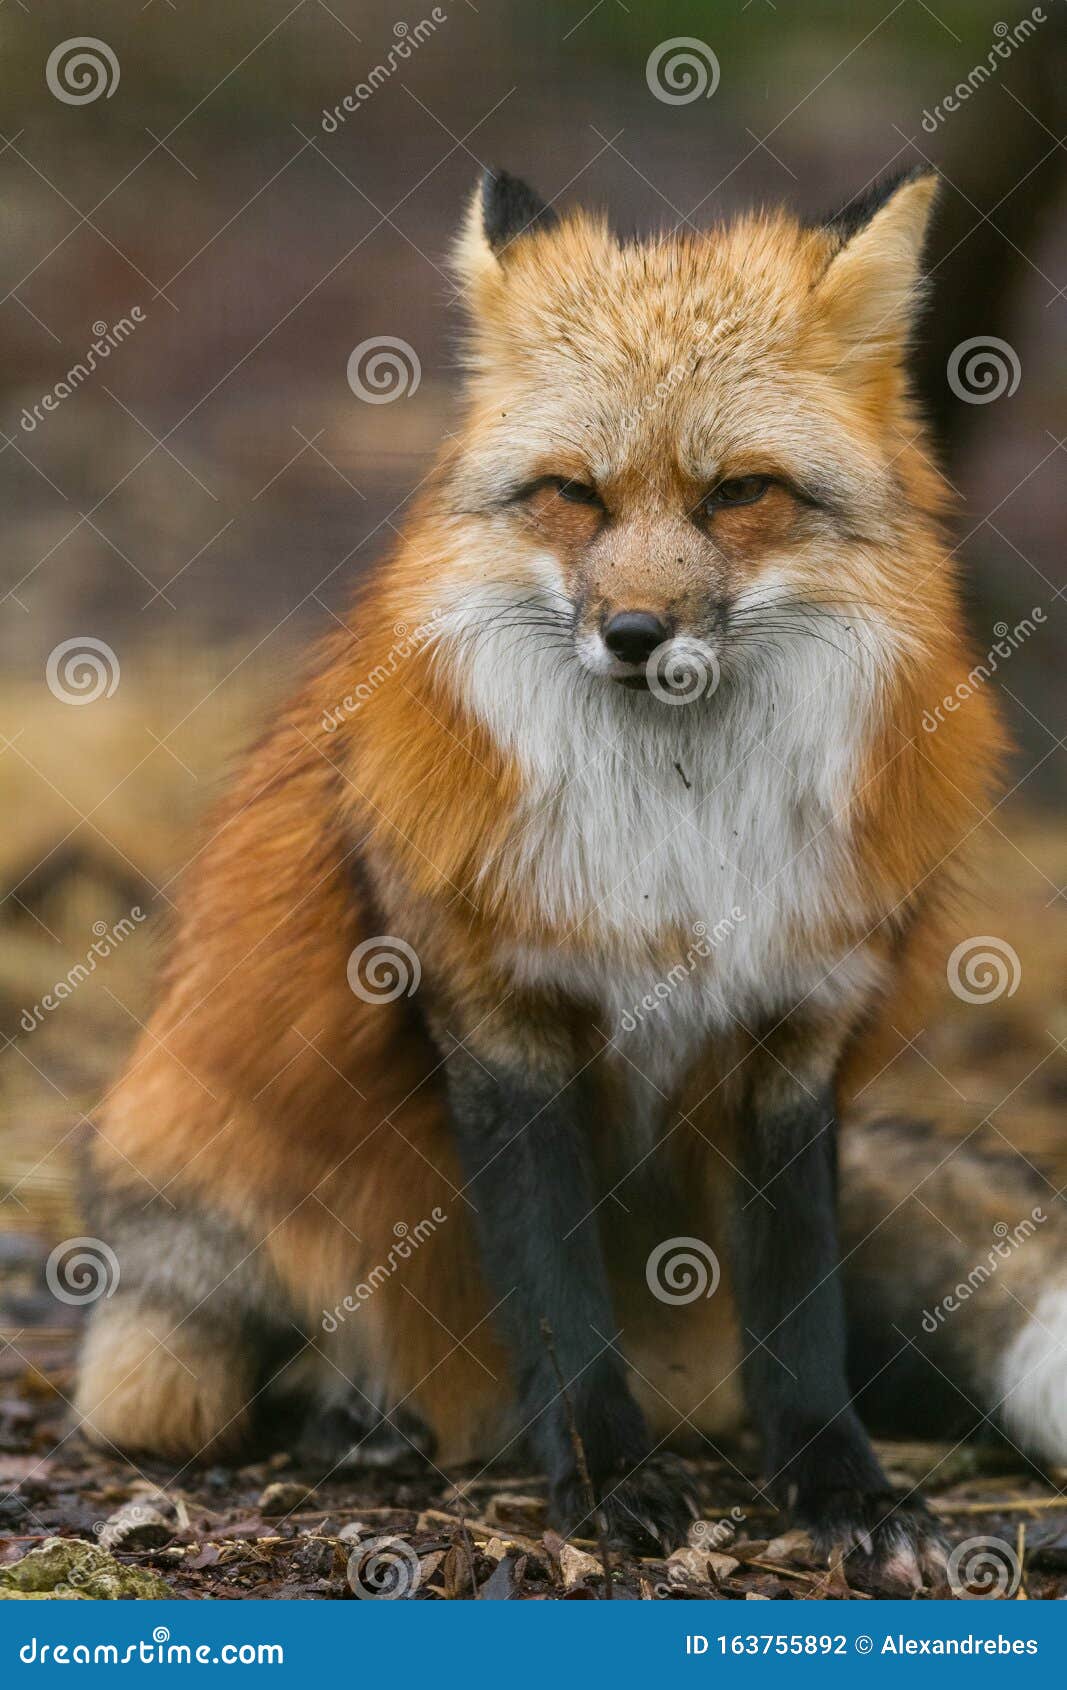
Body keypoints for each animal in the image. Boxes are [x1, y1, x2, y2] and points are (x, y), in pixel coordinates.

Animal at [75, 166, 1067, 1588]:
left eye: (737, 493)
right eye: (575, 495)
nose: (633, 634)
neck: (677, 834)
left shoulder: (792, 1034)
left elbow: (800, 1320)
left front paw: (843, 1490)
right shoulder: (502, 1024)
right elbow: (553, 1297)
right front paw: (601, 1479)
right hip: (172, 1321)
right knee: (219, 1381)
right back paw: (357, 1421)